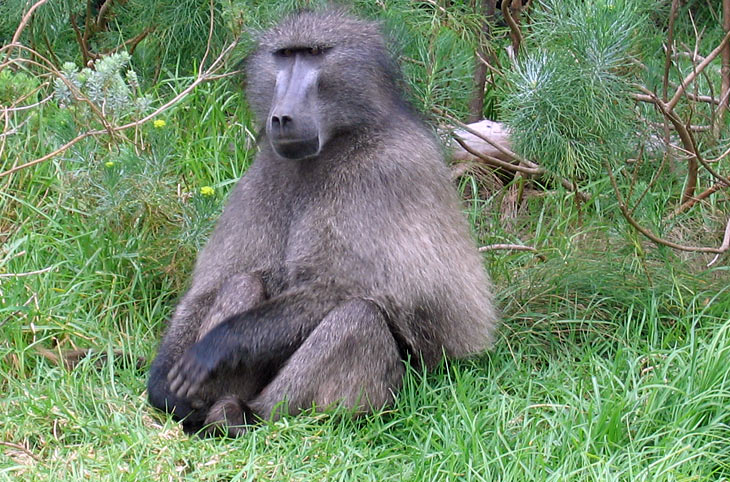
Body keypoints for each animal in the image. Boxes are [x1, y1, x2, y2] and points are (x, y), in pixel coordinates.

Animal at [147, 8, 499, 437]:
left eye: (315, 53)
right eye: (285, 55)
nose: (282, 116)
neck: (334, 144)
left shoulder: (386, 172)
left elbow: (351, 287)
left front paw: (218, 345)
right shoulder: (266, 172)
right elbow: (212, 285)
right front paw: (162, 386)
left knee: (359, 316)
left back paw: (245, 416)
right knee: (243, 282)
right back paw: (208, 408)